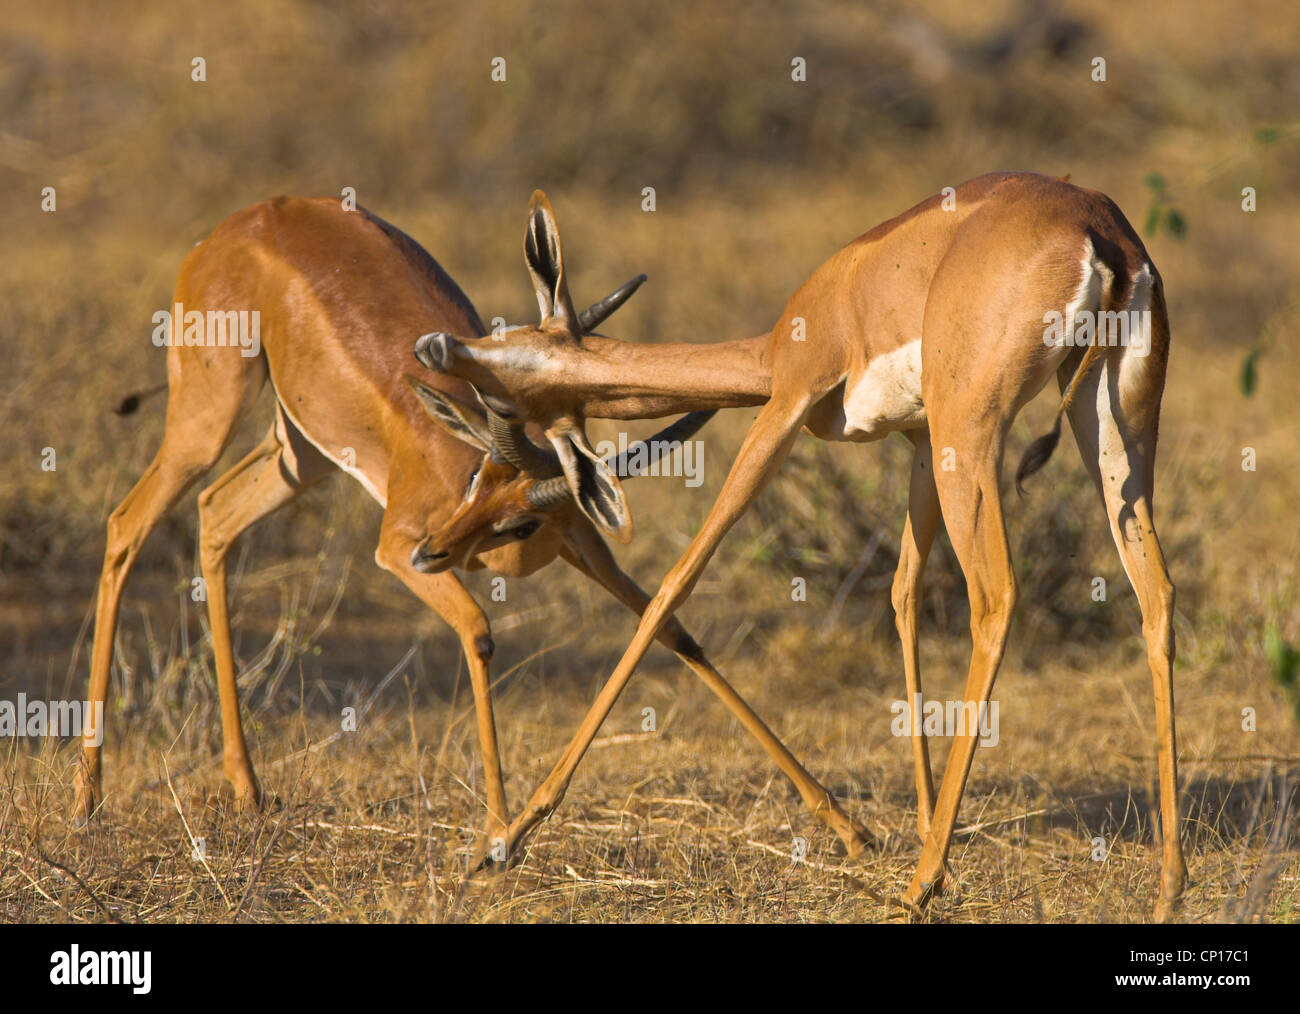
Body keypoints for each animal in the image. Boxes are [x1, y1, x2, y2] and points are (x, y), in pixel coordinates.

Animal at [77, 195, 871, 859]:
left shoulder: (586, 547)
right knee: (126, 523)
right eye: (478, 483)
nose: (435, 553)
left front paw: (848, 825)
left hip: (299, 452)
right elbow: (479, 631)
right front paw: (497, 833)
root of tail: (238, 224)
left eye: (519, 519)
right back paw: (89, 799)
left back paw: (246, 788)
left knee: (215, 515)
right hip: (210, 413)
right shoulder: (392, 546)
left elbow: (677, 633)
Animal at [416, 173, 1187, 919]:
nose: (434, 346)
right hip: (1105, 427)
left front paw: (504, 842)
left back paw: (921, 886)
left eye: (509, 368)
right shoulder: (917, 441)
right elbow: (903, 594)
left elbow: (675, 582)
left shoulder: (785, 407)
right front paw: (920, 823)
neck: (800, 325)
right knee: (1155, 593)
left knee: (995, 599)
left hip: (975, 432)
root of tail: (1099, 229)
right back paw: (1167, 886)